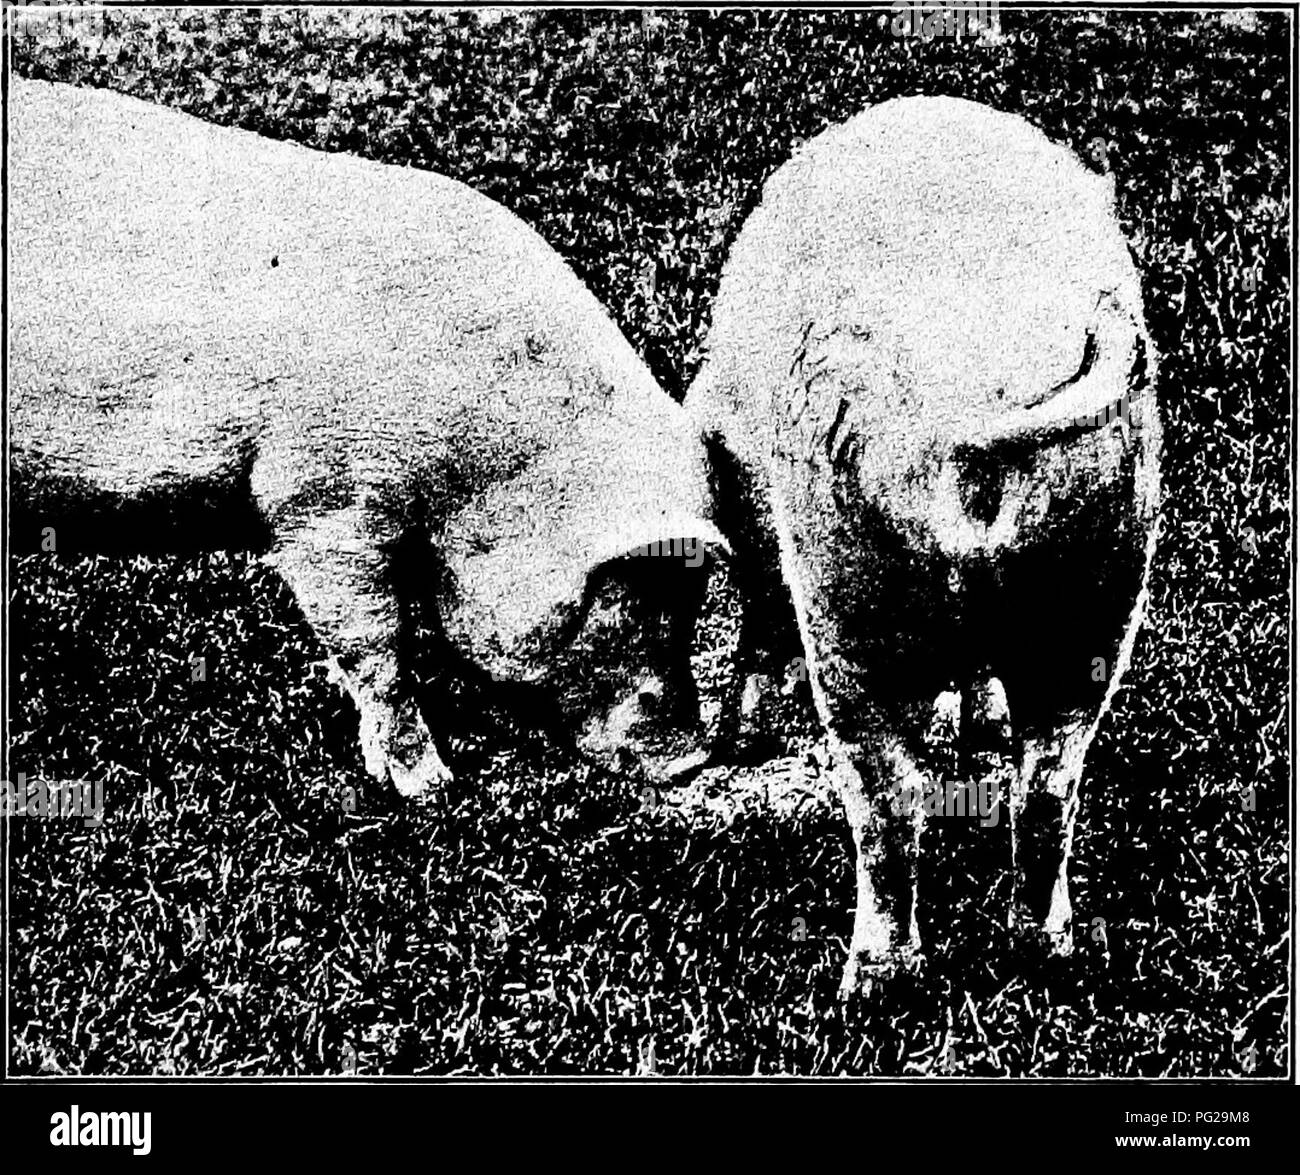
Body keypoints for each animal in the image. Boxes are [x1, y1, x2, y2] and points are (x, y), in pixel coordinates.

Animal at [9, 77, 724, 797]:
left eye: (692, 599)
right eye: (625, 599)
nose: (695, 757)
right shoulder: (321, 506)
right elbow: (376, 648)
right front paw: (432, 785)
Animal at [689, 96, 1162, 993]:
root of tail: (975, 391)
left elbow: (764, 622)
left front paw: (739, 736)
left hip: (854, 602)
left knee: (887, 797)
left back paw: (869, 981)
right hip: (1098, 577)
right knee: (1050, 778)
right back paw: (1043, 946)